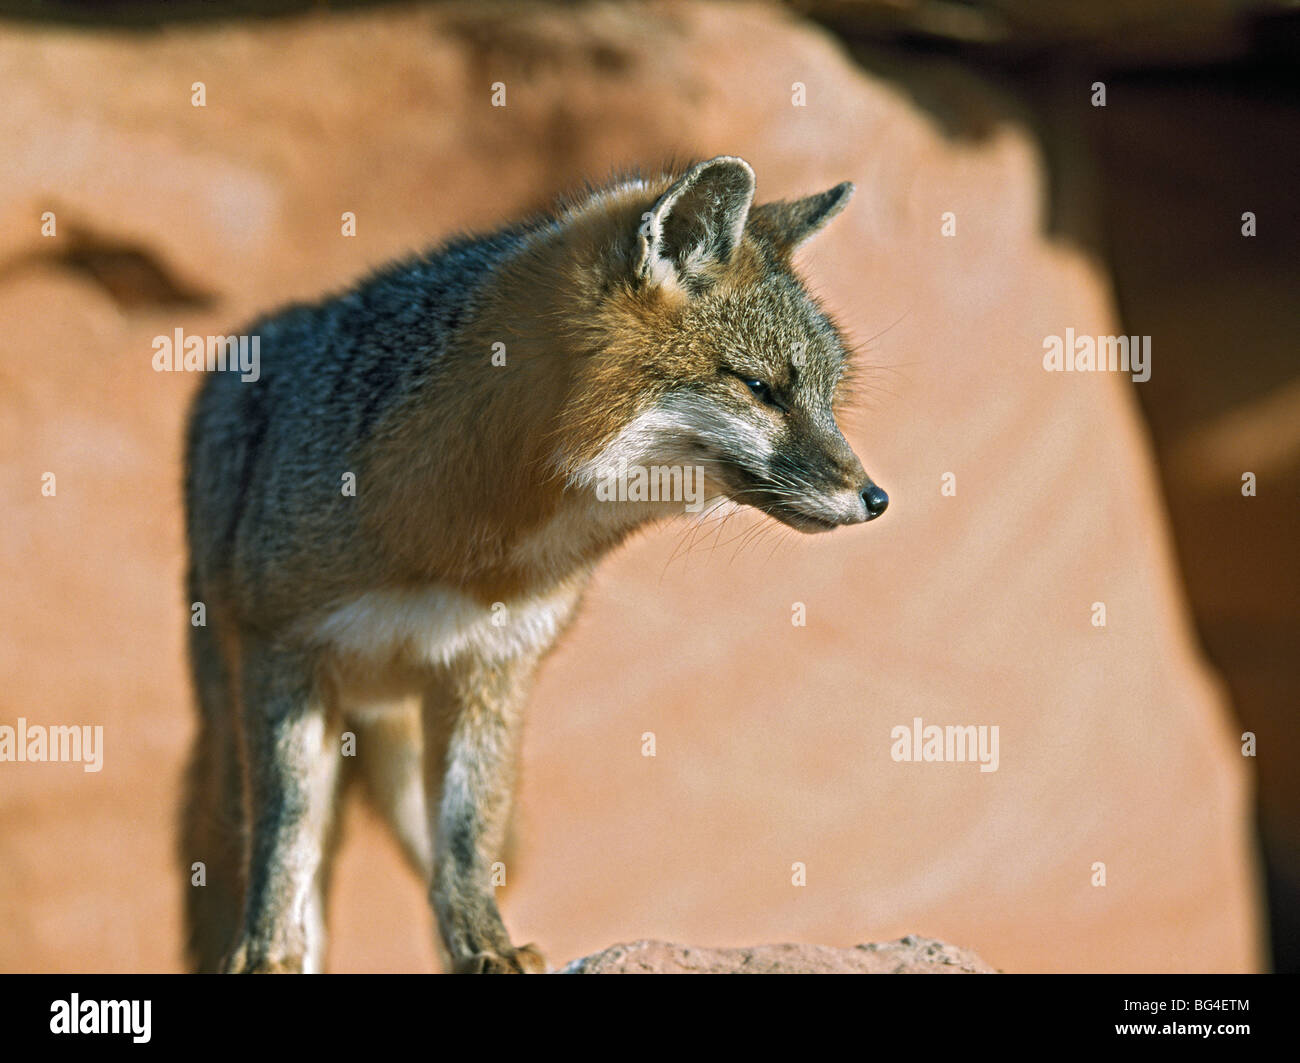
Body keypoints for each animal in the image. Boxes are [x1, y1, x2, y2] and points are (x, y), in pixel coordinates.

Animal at [181, 155, 889, 974]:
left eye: (828, 397)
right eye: (761, 388)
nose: (875, 497)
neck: (475, 548)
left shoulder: (493, 665)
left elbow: (464, 841)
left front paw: (484, 945)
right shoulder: (285, 653)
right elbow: (285, 841)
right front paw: (265, 952)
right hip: (231, 726)